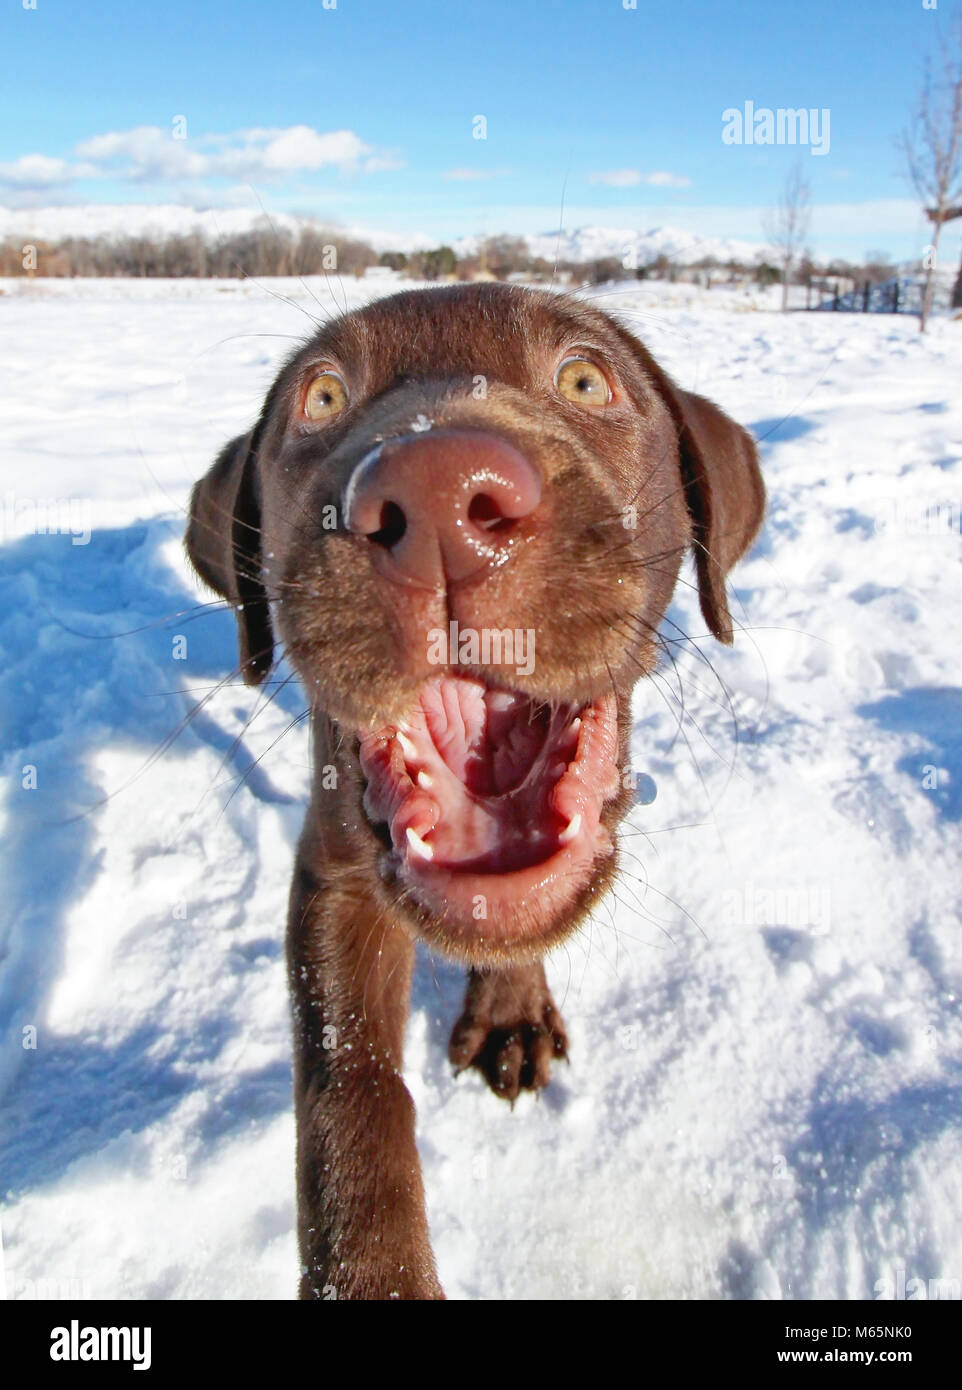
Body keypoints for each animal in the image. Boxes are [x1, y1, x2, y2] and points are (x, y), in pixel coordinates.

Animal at [183, 284, 761, 1301]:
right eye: (321, 397)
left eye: (586, 378)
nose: (438, 496)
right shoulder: (335, 867)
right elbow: (349, 1087)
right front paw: (373, 1268)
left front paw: (510, 1011)